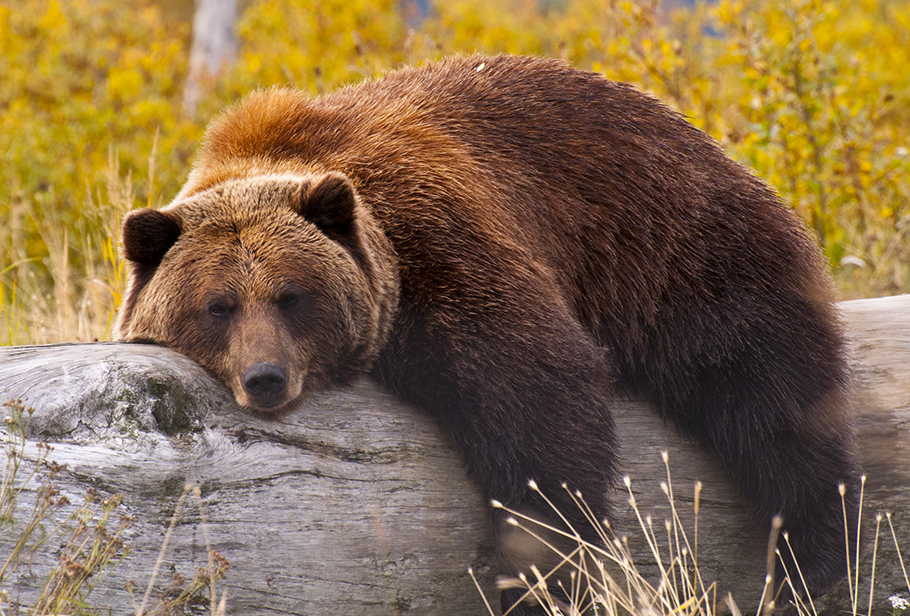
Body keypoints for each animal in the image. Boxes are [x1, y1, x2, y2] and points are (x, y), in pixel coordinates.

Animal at [115, 54, 859, 611]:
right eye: (217, 306)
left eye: (291, 297)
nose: (265, 378)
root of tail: (704, 139)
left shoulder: (440, 242)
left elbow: (538, 398)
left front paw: (536, 575)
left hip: (681, 253)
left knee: (771, 397)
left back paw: (811, 557)